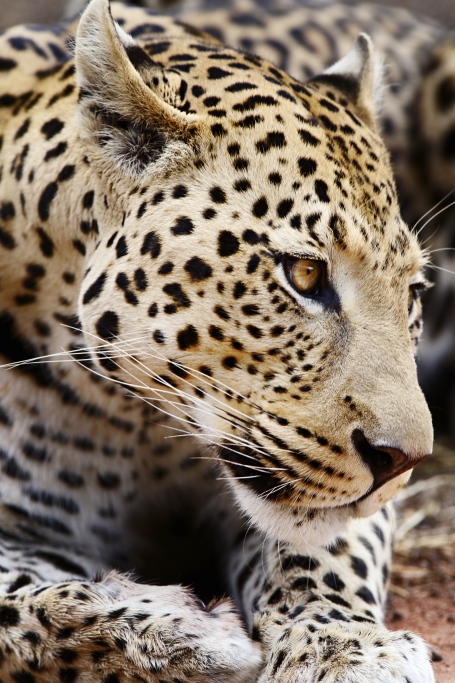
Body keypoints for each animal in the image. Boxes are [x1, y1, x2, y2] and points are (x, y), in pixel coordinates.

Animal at [0, 0, 436, 681]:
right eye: (304, 274)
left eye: (412, 293)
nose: (405, 462)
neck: (132, 423)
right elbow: (18, 603)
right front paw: (178, 634)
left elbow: (323, 549)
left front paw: (346, 647)